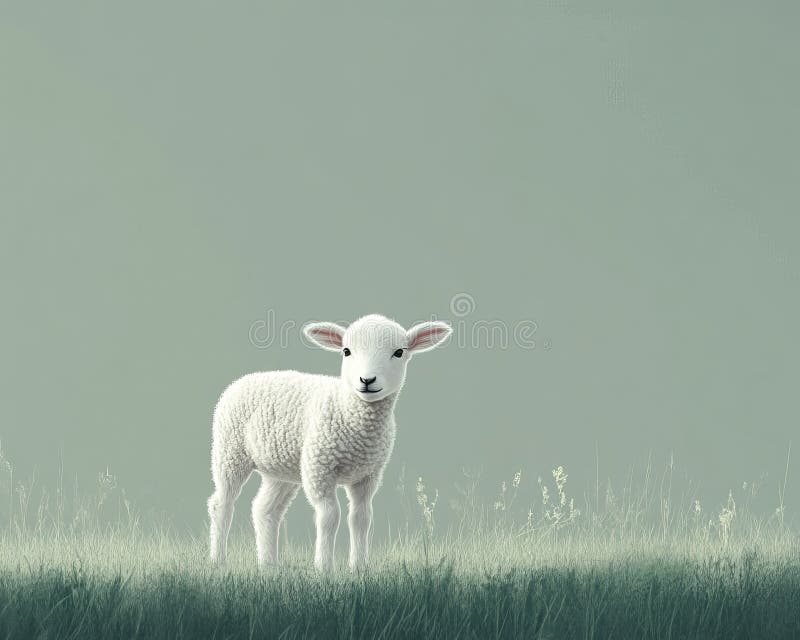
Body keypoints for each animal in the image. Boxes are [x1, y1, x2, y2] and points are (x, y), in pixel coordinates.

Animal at [207, 314, 452, 571]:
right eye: (346, 351)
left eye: (398, 352)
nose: (367, 380)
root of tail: (242, 379)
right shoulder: (319, 468)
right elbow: (329, 517)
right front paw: (324, 567)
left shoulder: (368, 476)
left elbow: (361, 518)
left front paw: (359, 567)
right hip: (230, 450)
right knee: (221, 503)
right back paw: (218, 560)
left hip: (282, 468)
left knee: (265, 509)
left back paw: (268, 565)